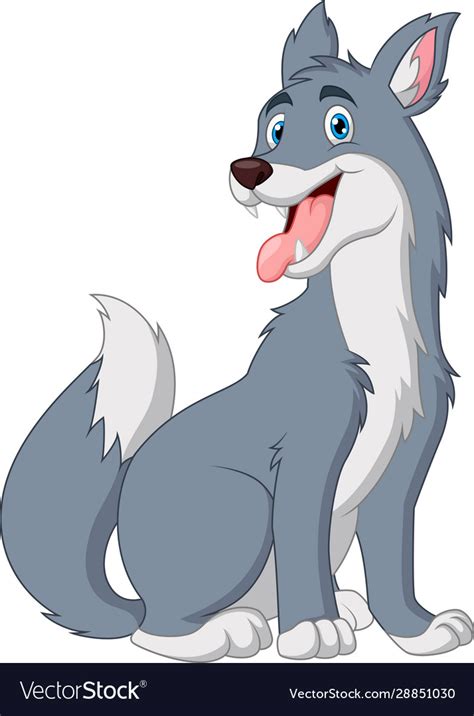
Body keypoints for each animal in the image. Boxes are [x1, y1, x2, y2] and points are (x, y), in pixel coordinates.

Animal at [1, 2, 470, 661]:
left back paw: (339, 608)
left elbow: (394, 562)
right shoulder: (306, 456)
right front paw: (311, 630)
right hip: (242, 501)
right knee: (153, 629)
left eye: (339, 125)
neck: (375, 322)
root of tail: (129, 589)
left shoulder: (405, 471)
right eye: (274, 129)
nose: (247, 169)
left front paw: (416, 631)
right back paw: (228, 630)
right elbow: (300, 546)